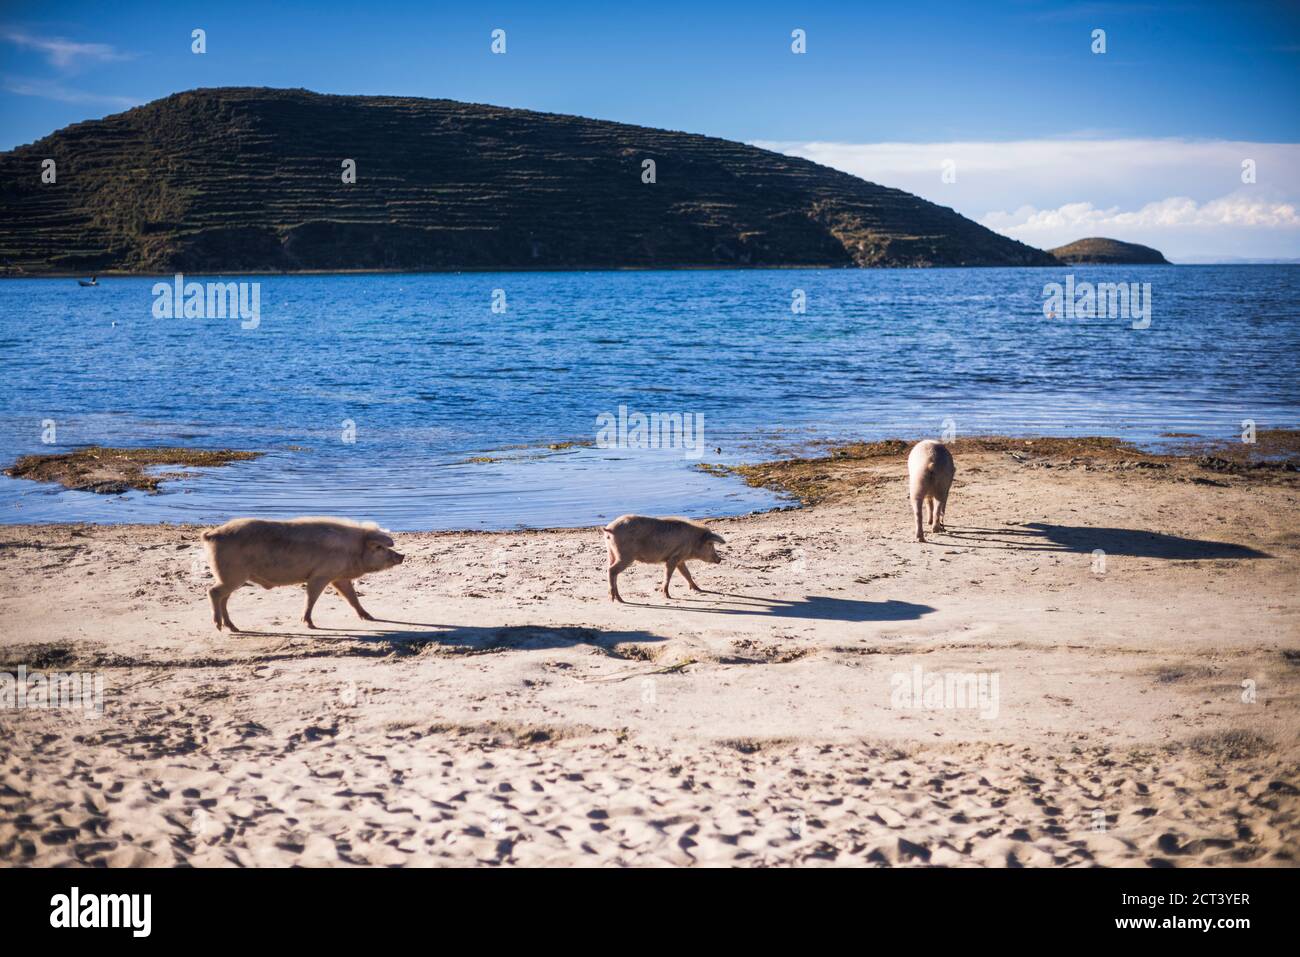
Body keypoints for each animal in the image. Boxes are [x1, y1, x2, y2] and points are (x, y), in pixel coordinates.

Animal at [201, 517, 404, 632]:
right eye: (379, 547)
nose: (401, 556)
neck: (352, 549)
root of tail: (212, 534)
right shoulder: (321, 575)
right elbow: (311, 598)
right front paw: (310, 624)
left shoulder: (338, 577)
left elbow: (352, 598)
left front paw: (369, 617)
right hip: (232, 575)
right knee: (213, 592)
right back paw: (218, 626)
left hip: (230, 577)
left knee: (224, 598)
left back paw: (232, 627)